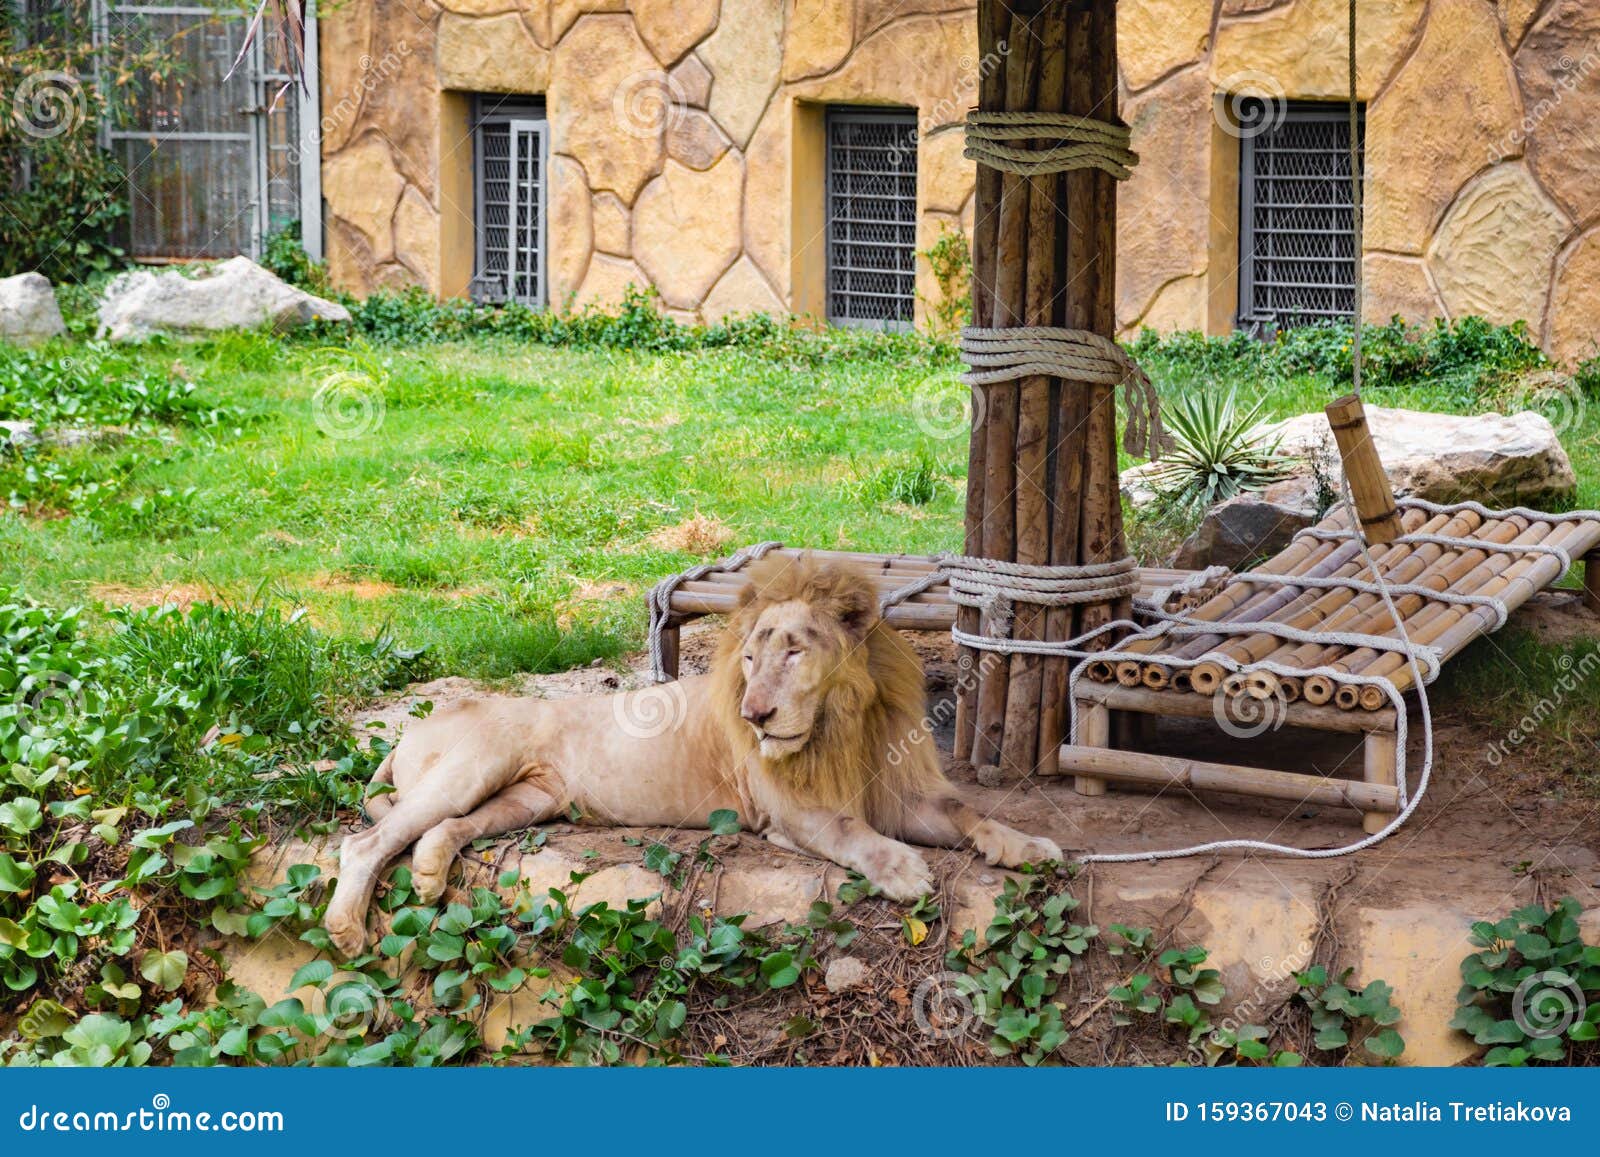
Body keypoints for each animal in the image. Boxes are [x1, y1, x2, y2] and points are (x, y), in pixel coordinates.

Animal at [324, 556, 1061, 957]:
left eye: (795, 649)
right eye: (751, 658)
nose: (755, 716)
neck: (842, 724)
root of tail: (409, 729)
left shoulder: (901, 790)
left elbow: (968, 813)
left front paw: (1029, 848)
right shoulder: (791, 813)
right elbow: (854, 832)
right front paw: (904, 869)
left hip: (524, 798)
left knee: (441, 830)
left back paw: (427, 878)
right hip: (475, 766)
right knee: (366, 842)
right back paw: (346, 931)